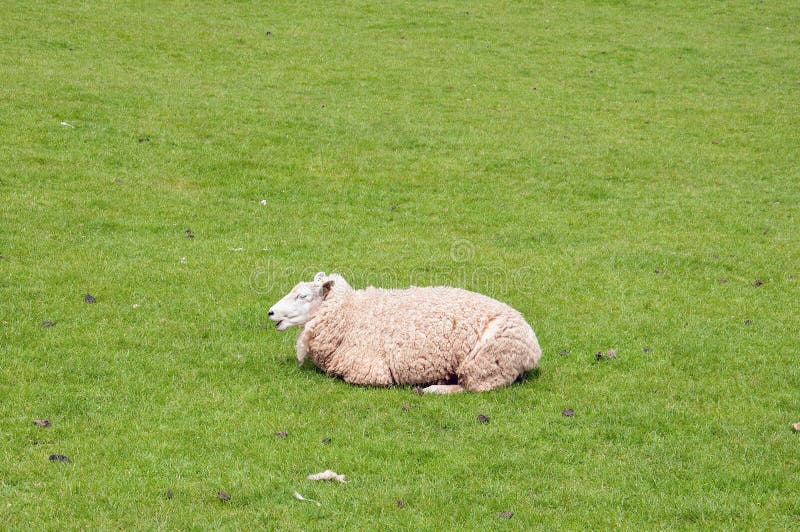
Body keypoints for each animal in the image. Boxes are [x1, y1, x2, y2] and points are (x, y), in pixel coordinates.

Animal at [267, 272, 542, 393]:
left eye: (302, 296)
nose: (270, 312)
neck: (351, 313)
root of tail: (534, 350)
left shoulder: (369, 371)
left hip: (486, 362)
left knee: (472, 388)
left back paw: (433, 389)